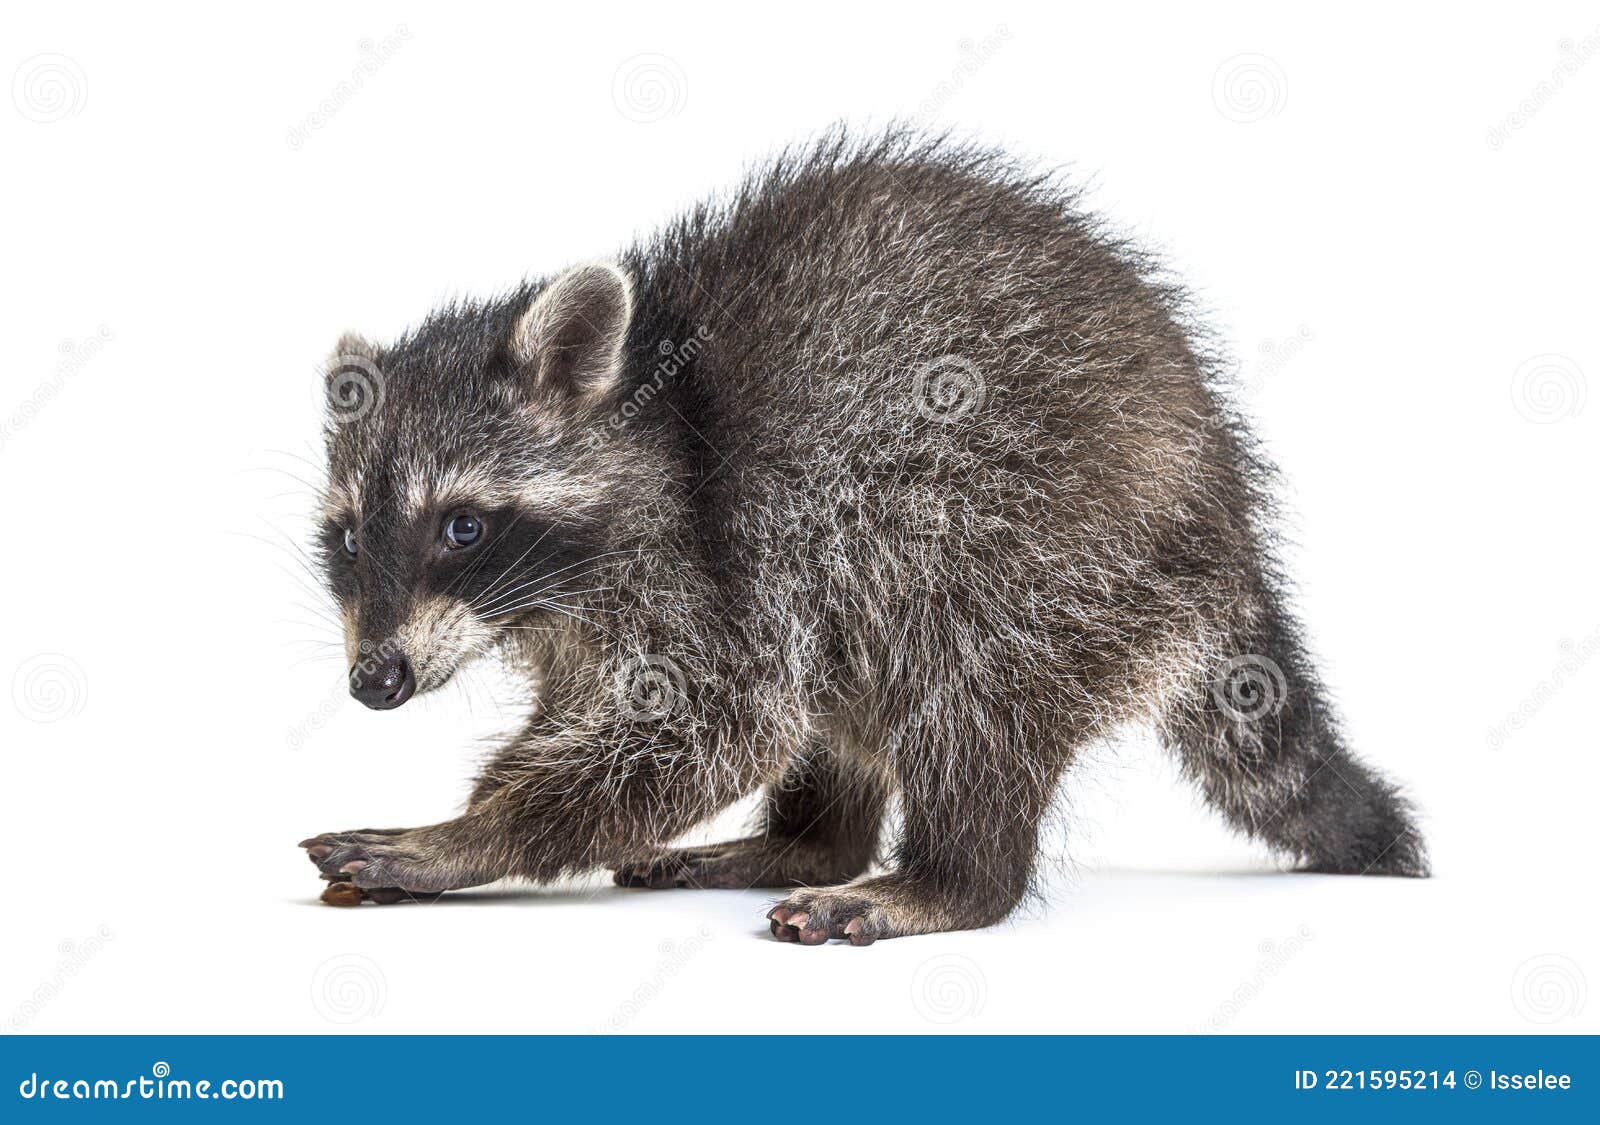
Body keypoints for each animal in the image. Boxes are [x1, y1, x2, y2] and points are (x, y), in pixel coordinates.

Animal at [300, 130, 1426, 944]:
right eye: (348, 541)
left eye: (461, 525)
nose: (376, 682)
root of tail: (1222, 500)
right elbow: (642, 715)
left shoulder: (706, 561)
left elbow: (718, 722)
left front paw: (472, 831)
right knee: (848, 679)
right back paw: (814, 844)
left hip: (1057, 545)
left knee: (968, 682)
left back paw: (948, 879)